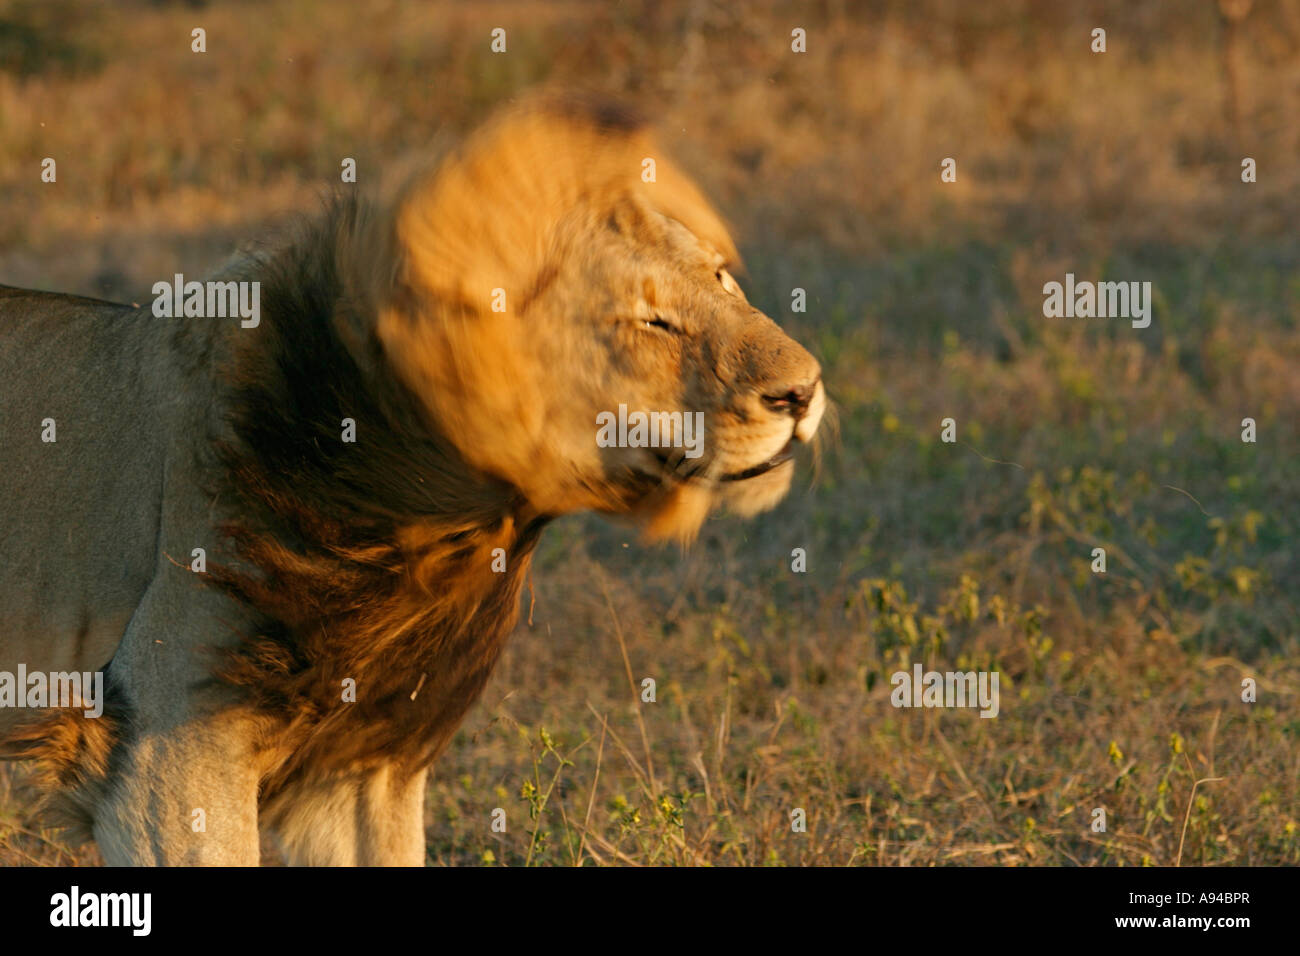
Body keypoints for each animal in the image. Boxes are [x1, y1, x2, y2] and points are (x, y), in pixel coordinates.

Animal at [0, 93, 825, 865]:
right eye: (651, 322)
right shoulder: (166, 751)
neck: (436, 524)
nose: (804, 390)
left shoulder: (367, 765)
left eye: (721, 276)